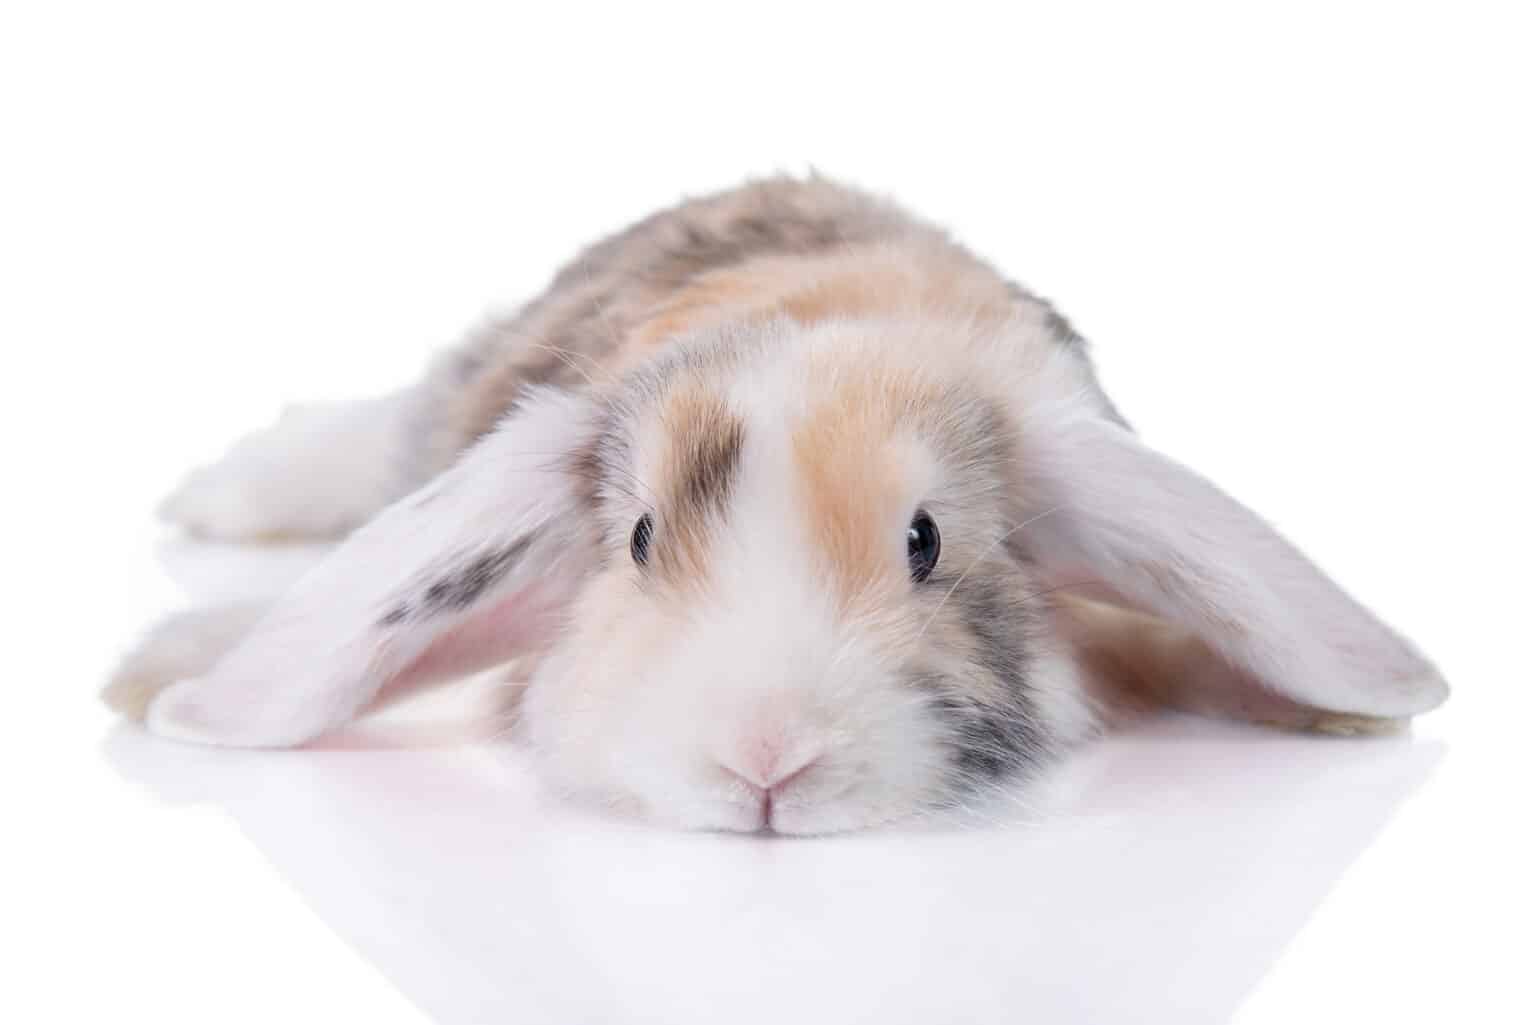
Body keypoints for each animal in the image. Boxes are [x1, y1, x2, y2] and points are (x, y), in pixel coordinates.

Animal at [104, 175, 1448, 834]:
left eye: (926, 540)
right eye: (639, 538)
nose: (766, 759)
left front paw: (1343, 713)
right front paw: (157, 676)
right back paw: (228, 490)